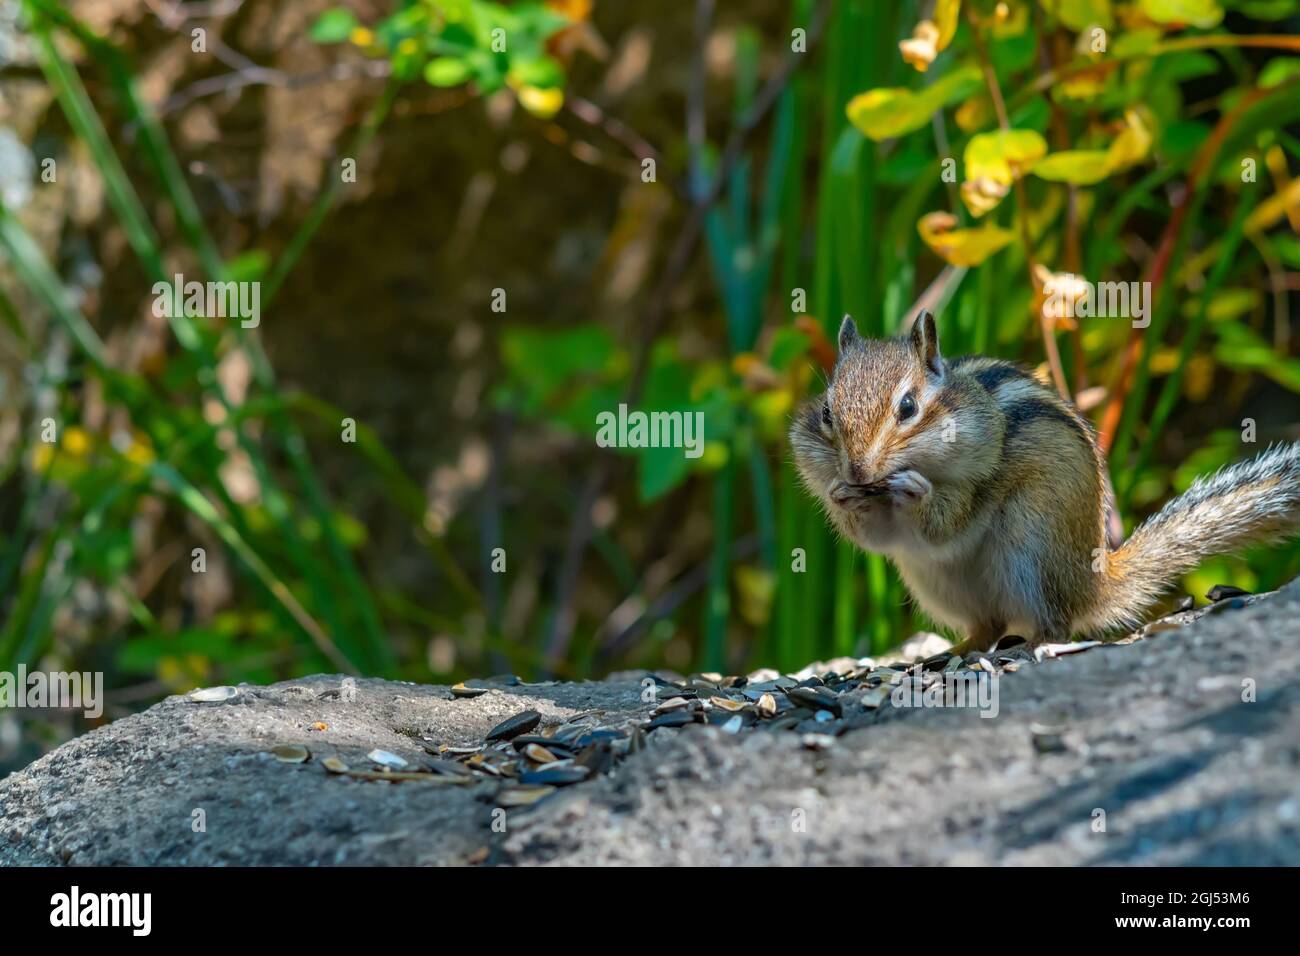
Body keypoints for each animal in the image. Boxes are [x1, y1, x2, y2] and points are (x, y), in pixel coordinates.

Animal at [790, 309, 1300, 651]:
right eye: (827, 412)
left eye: (909, 407)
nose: (857, 471)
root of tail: (1094, 583)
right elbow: (876, 538)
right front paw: (841, 497)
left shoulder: (986, 475)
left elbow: (948, 524)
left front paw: (914, 489)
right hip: (935, 582)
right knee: (990, 626)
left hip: (1030, 549)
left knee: (1054, 623)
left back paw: (1037, 644)